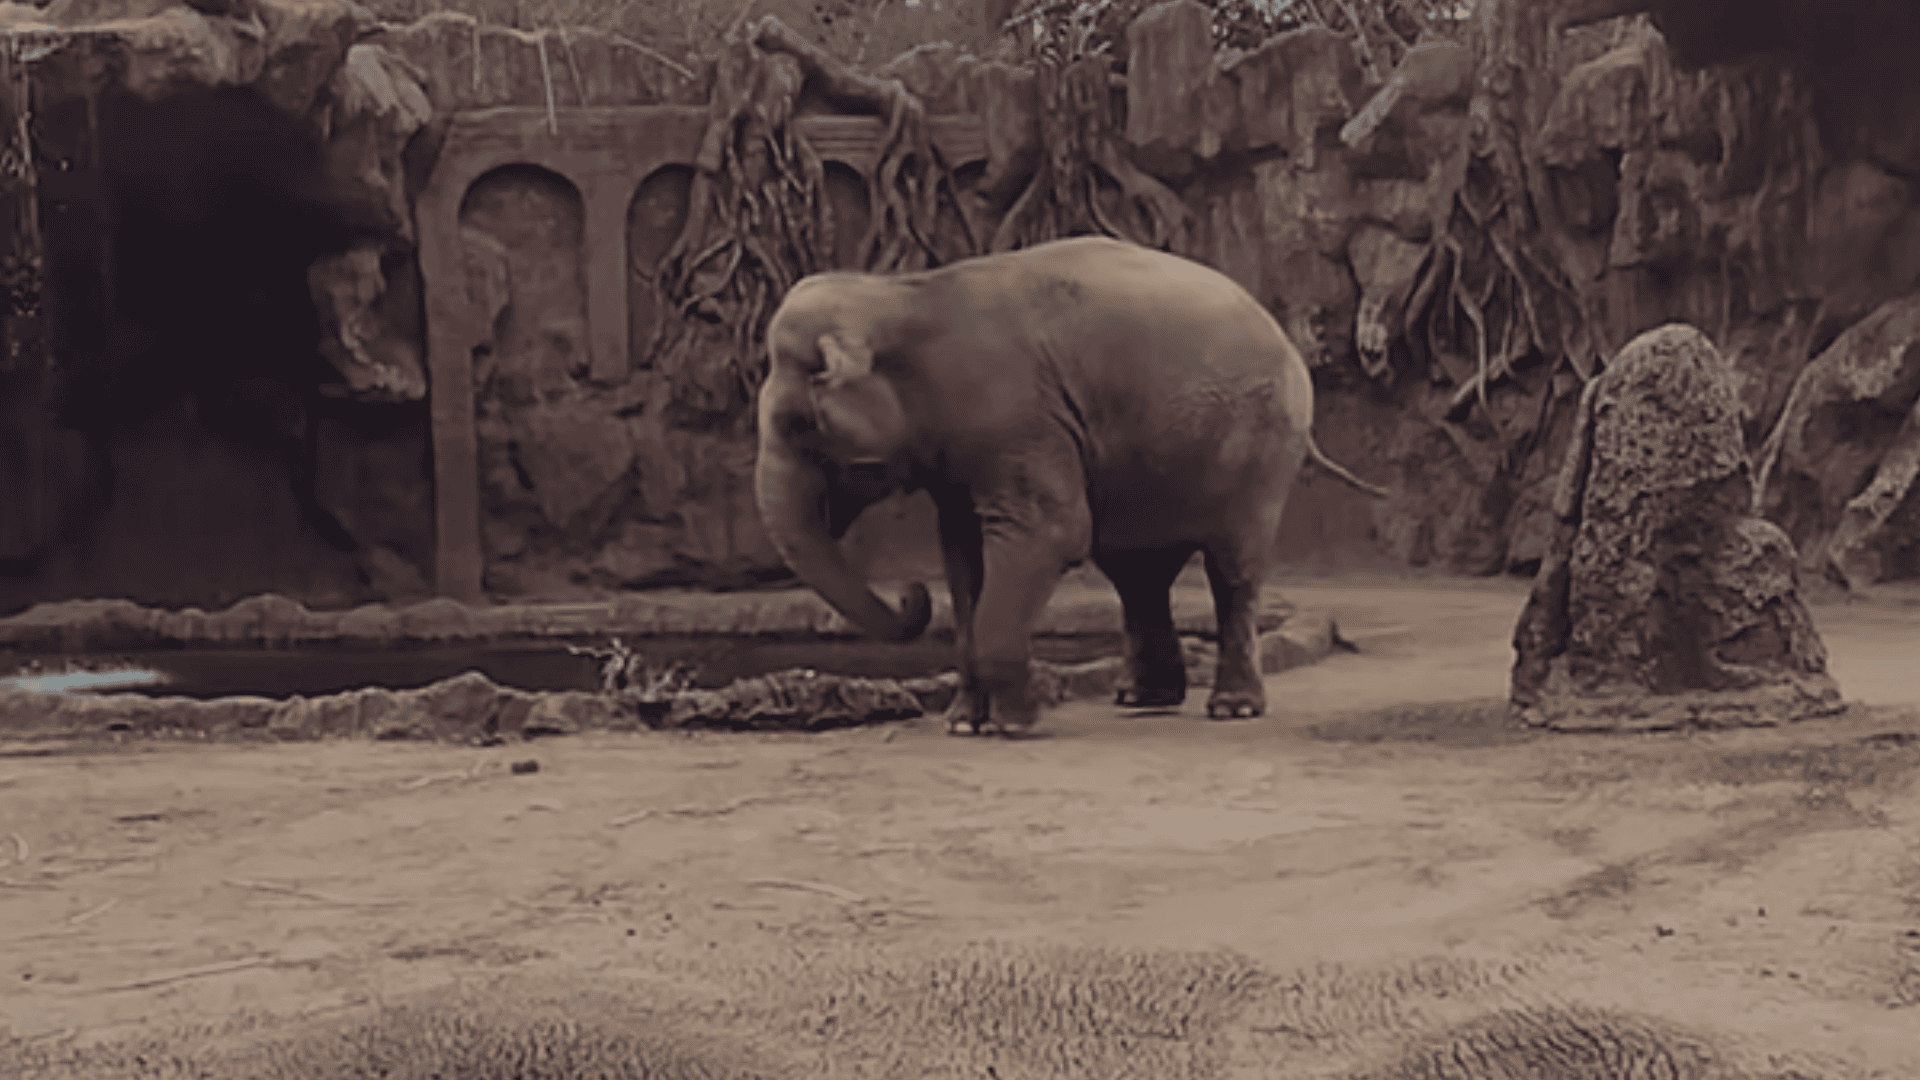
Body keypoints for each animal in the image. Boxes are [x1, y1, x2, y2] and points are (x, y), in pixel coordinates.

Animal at [754, 236, 1389, 736]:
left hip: (1259, 447)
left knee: (1230, 567)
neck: (900, 294)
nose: (911, 594)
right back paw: (1140, 699)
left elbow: (1050, 534)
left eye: (798, 425)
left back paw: (1231, 709)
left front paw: (1012, 725)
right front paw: (965, 724)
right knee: (1138, 573)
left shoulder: (1018, 418)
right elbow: (963, 556)